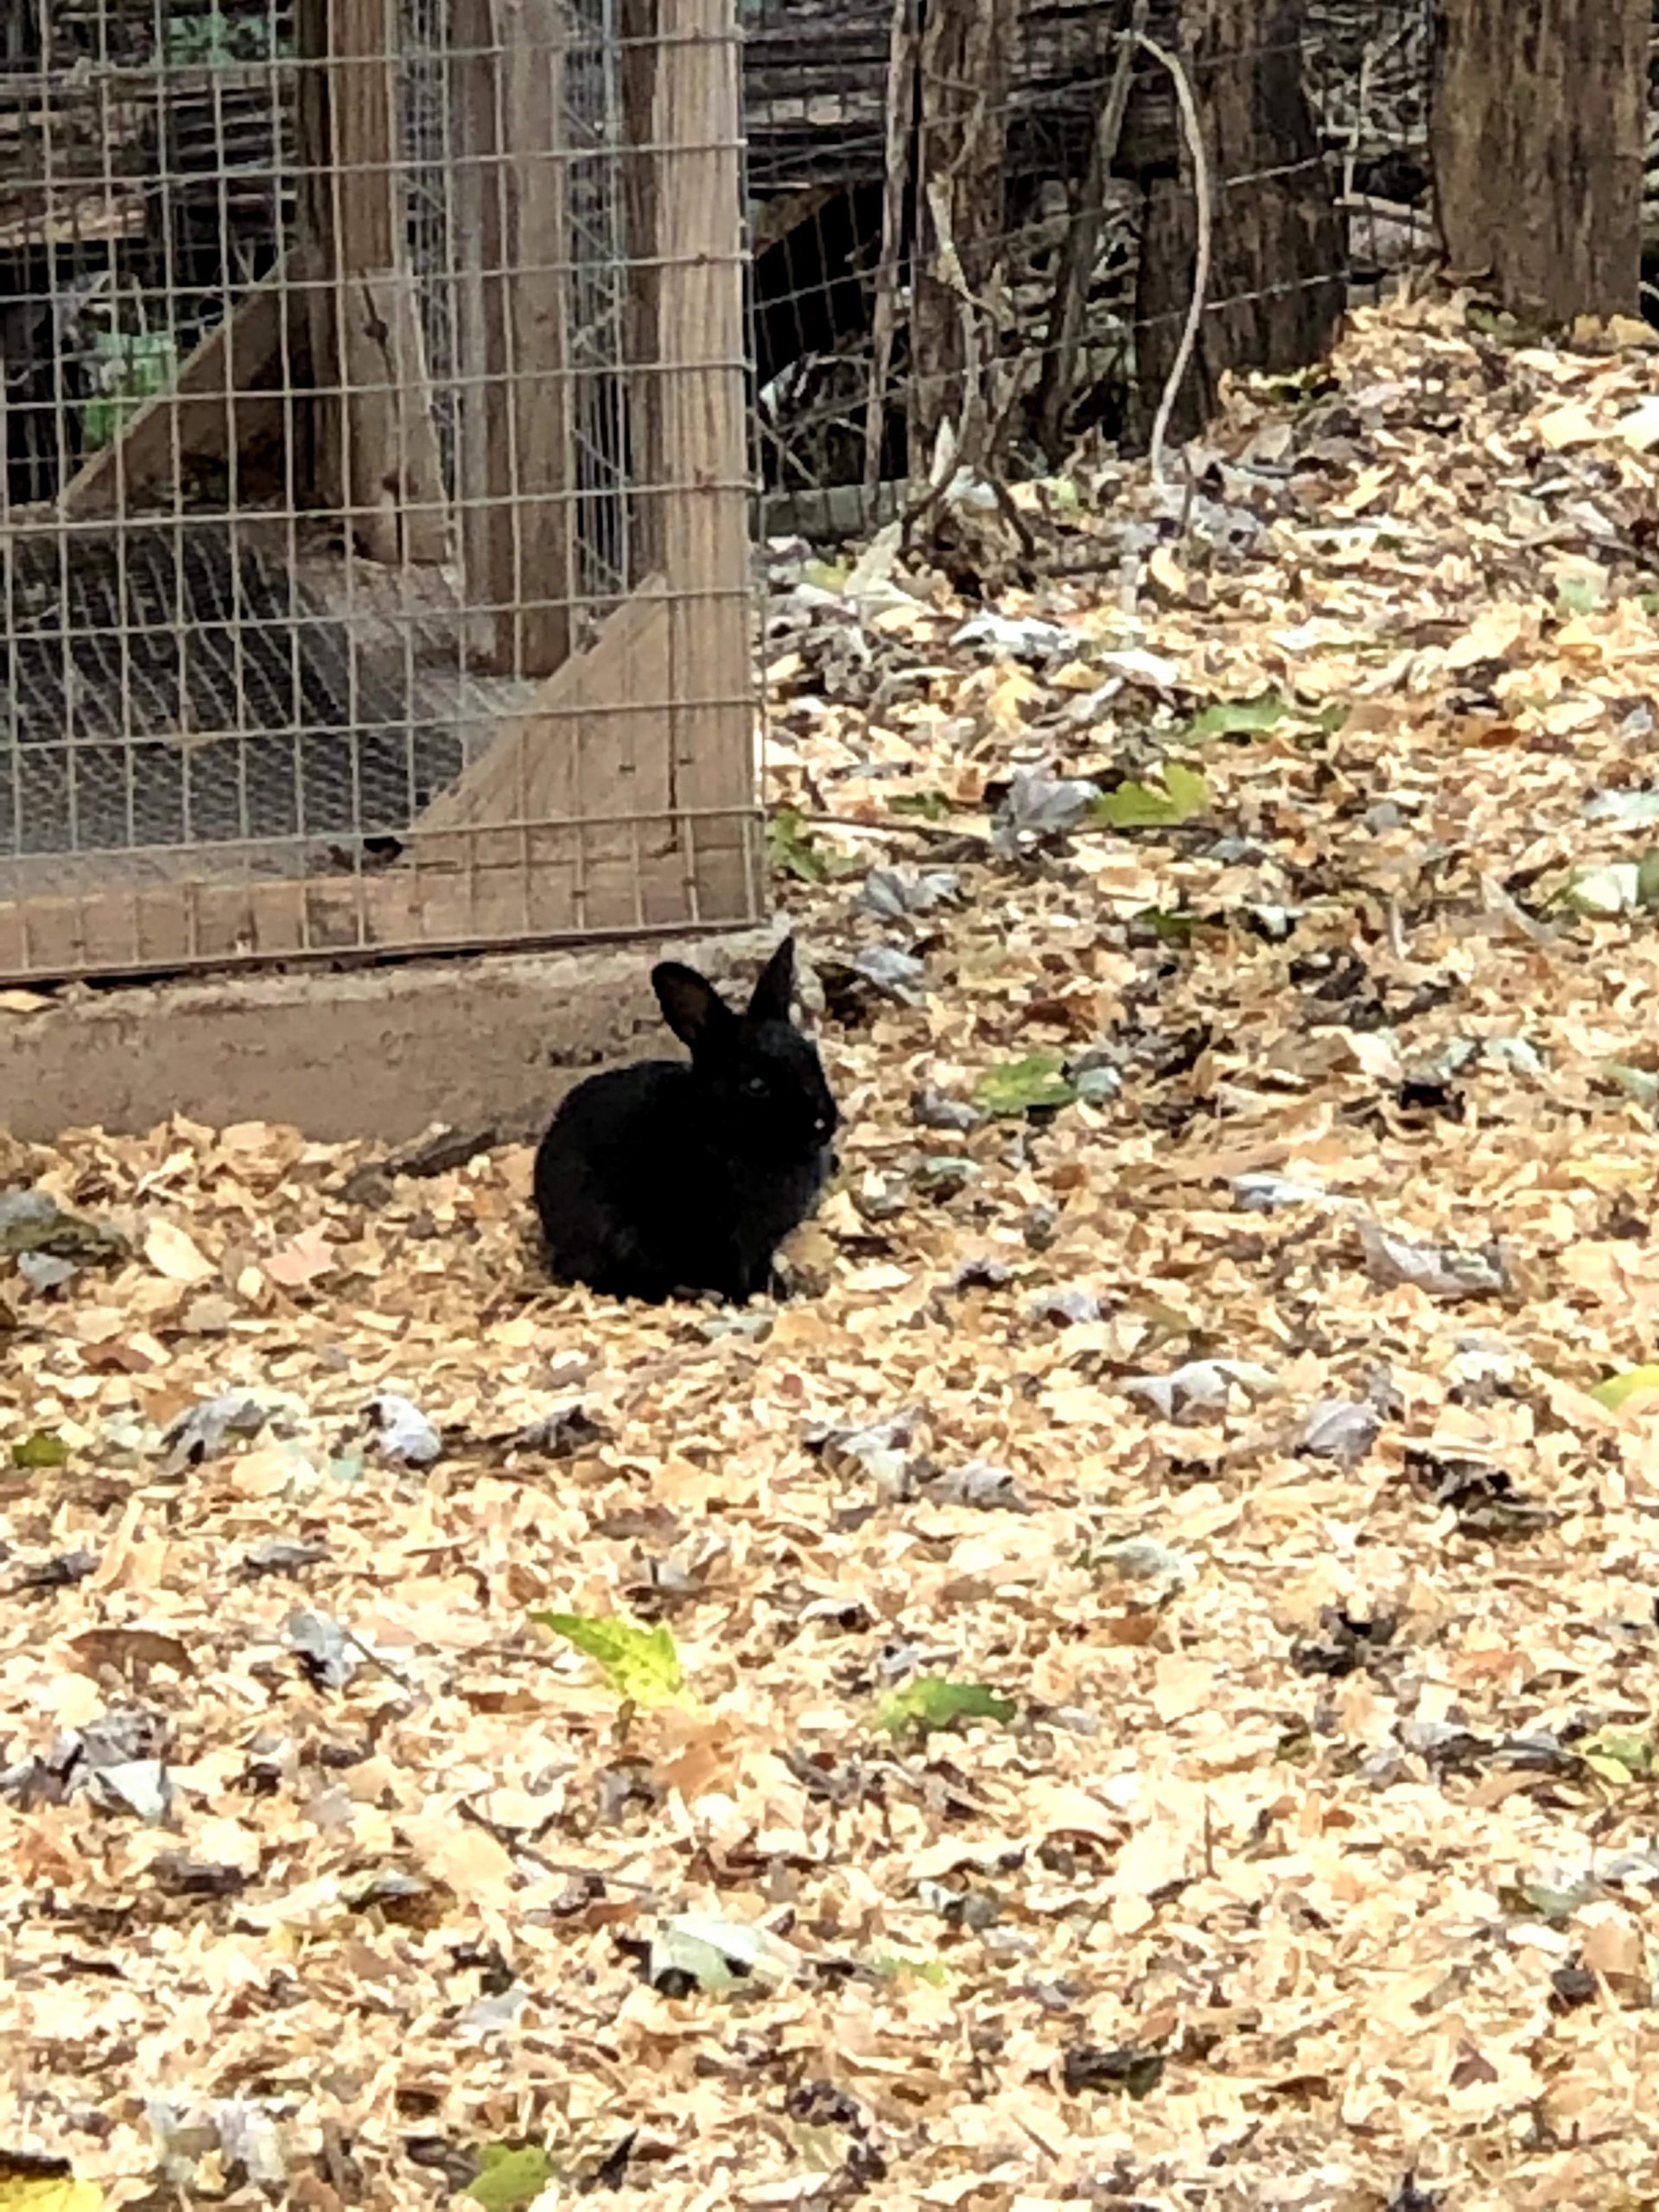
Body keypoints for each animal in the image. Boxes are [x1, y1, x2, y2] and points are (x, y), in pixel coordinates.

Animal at [532, 935, 840, 1304]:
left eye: (811, 1055)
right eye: (756, 1085)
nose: (824, 1123)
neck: (722, 1133)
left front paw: (780, 1288)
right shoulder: (722, 1240)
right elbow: (734, 1274)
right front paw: (748, 1299)